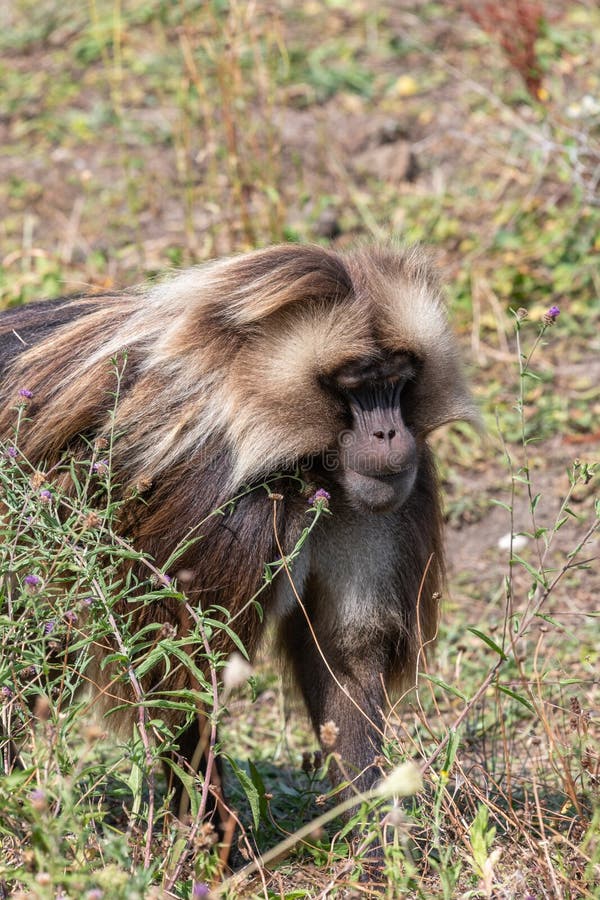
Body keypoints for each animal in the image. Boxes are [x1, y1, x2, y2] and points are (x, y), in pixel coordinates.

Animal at [0, 243, 477, 831]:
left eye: (397, 380)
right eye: (357, 386)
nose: (389, 434)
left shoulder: (383, 510)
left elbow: (346, 661)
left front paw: (377, 837)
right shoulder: (221, 511)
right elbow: (183, 680)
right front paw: (213, 841)